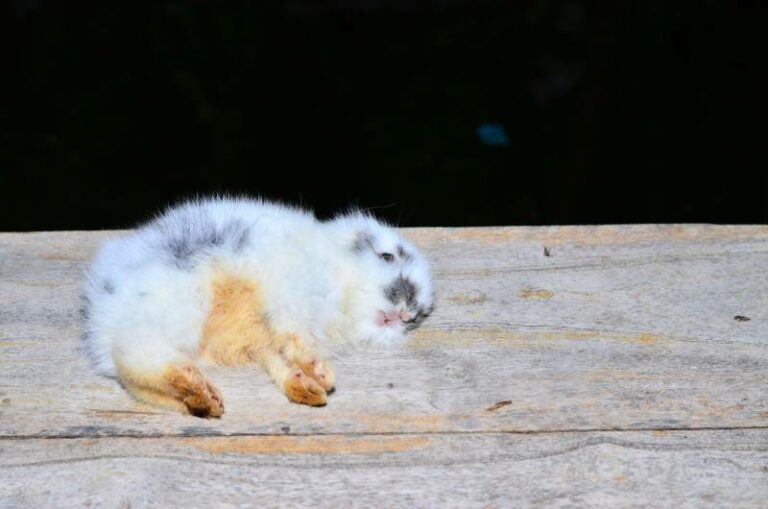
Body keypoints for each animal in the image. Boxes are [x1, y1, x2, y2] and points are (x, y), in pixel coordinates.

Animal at [81, 196, 434, 417]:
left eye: (419, 317)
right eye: (386, 256)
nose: (407, 314)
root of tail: (101, 319)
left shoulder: (260, 340)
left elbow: (277, 362)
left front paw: (307, 389)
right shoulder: (288, 300)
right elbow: (297, 344)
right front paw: (323, 375)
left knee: (137, 376)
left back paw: (201, 401)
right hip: (176, 307)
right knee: (133, 355)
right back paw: (197, 389)